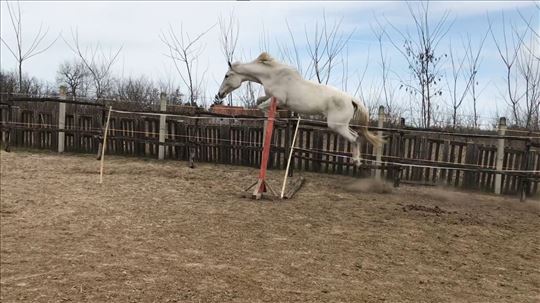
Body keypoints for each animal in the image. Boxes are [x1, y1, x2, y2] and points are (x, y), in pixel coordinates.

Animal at [215, 52, 384, 166]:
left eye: (227, 75)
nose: (219, 94)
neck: (271, 74)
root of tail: (351, 99)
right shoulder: (273, 98)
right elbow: (259, 101)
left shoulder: (279, 99)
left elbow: (261, 106)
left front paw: (274, 117)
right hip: (341, 125)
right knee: (356, 135)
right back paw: (358, 161)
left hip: (336, 125)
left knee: (355, 138)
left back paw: (356, 161)